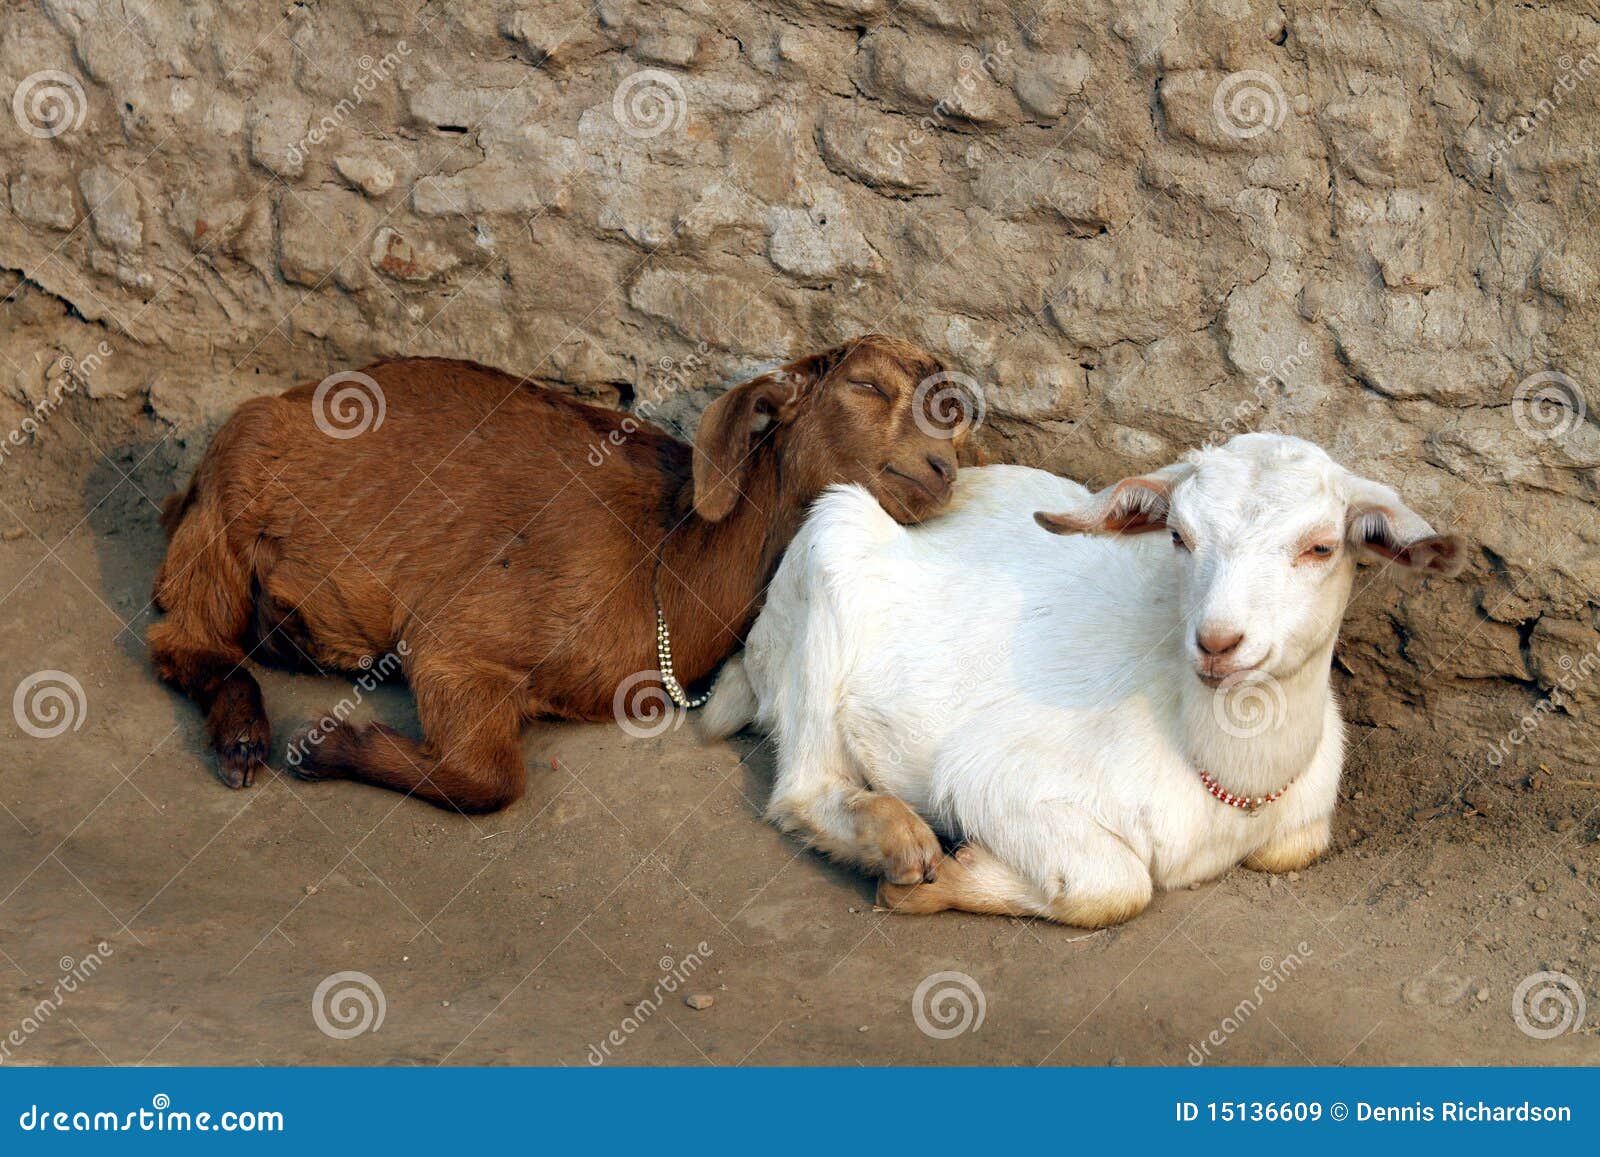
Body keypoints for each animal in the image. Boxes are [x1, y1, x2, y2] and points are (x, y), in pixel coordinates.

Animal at [149, 336, 969, 813]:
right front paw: (322, 745)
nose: (942, 469)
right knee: (180, 642)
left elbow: (487, 778)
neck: (662, 562)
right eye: (866, 387)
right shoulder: (456, 642)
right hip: (227, 497)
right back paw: (245, 738)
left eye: (954, 417)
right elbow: (489, 779)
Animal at [700, 433, 1465, 926]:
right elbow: (1116, 886)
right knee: (802, 789)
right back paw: (897, 839)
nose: (1218, 642)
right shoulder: (992, 774)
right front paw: (945, 877)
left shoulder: (1300, 827)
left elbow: (1294, 846)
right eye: (1179, 537)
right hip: (827, 556)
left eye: (1321, 546)